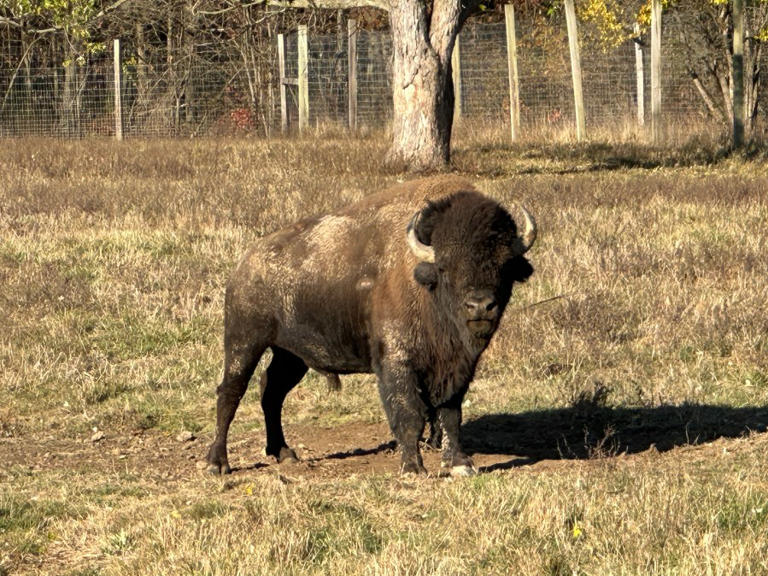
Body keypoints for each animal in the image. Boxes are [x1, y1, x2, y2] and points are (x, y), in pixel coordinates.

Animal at [207, 175, 536, 476]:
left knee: (271, 391)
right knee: (231, 392)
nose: (480, 306)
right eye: (445, 267)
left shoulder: (457, 368)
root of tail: (244, 265)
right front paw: (413, 468)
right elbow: (409, 413)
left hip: (291, 356)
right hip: (244, 342)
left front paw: (459, 465)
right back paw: (218, 463)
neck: (422, 281)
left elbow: (450, 414)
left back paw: (284, 453)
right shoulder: (396, 361)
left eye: (504, 264)